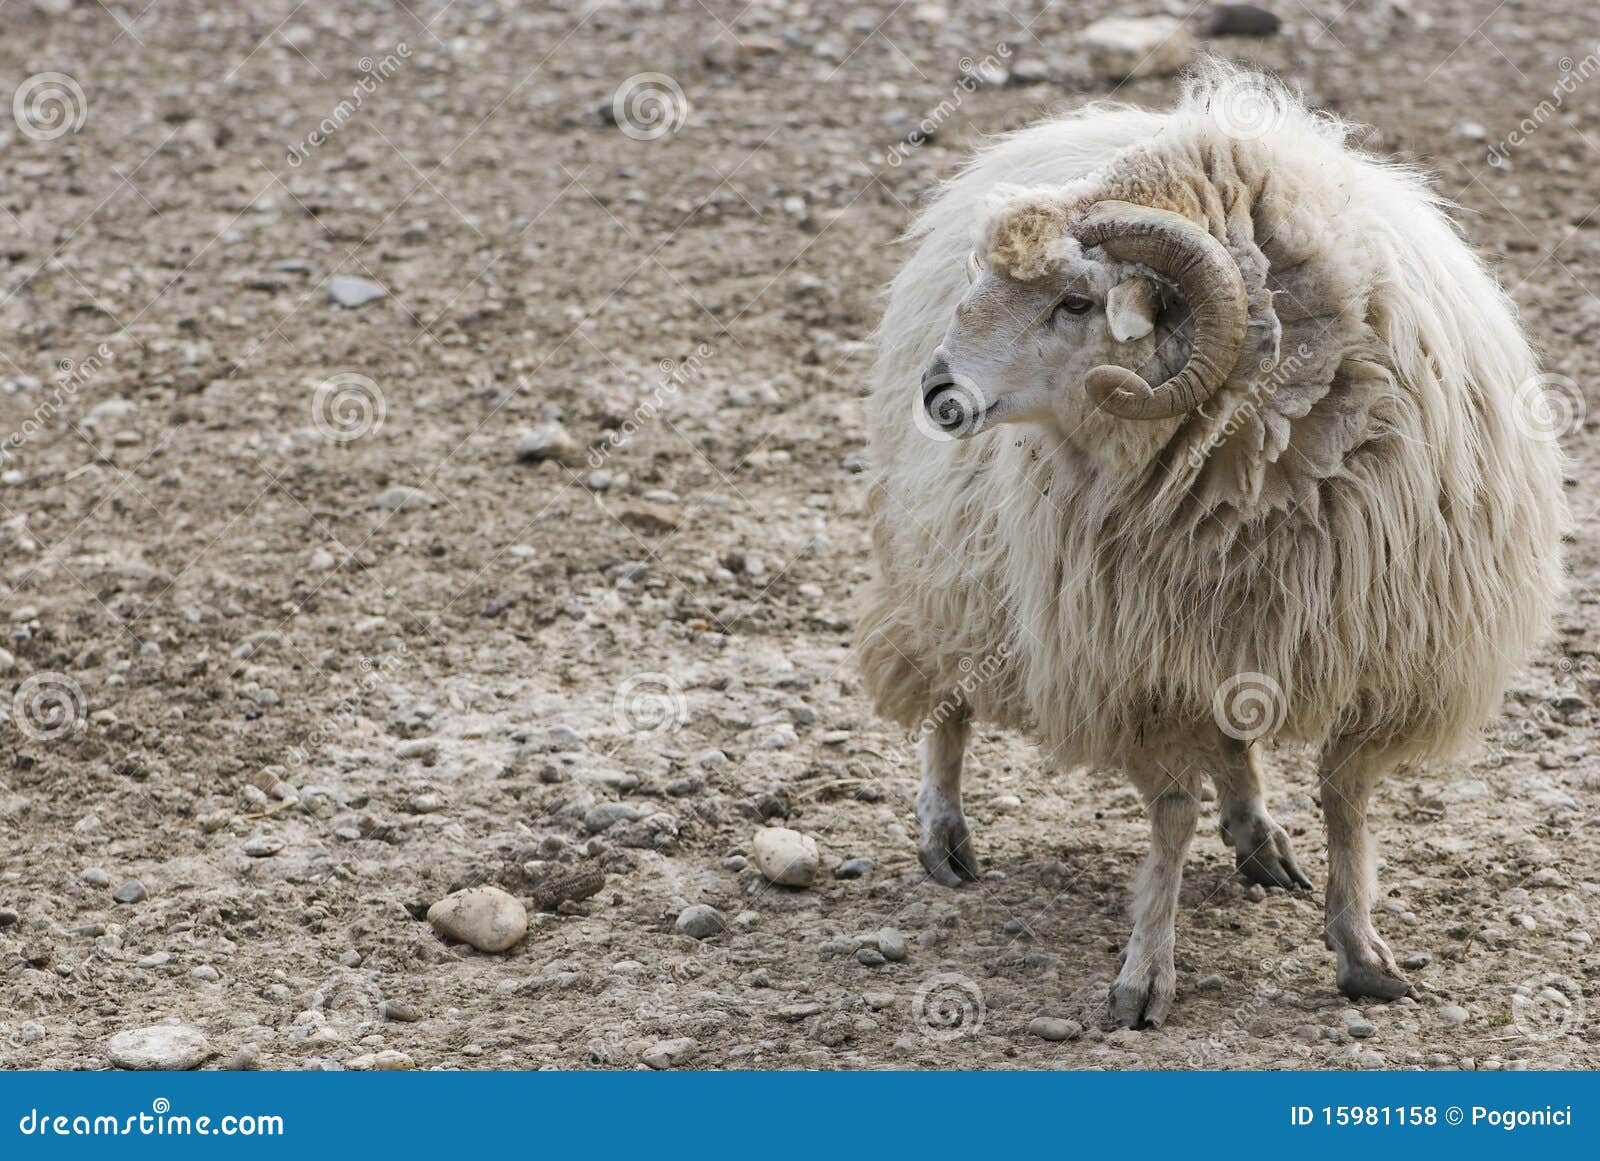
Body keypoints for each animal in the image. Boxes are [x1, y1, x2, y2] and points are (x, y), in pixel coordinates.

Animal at [856, 64, 1568, 1028]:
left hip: (1222, 618)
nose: (939, 392)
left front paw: (1361, 949)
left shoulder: (1380, 654)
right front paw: (1144, 972)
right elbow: (1170, 816)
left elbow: (1346, 800)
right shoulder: (1139, 660)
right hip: (948, 559)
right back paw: (944, 830)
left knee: (1234, 736)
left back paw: (1256, 831)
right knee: (946, 694)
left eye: (1076, 302)